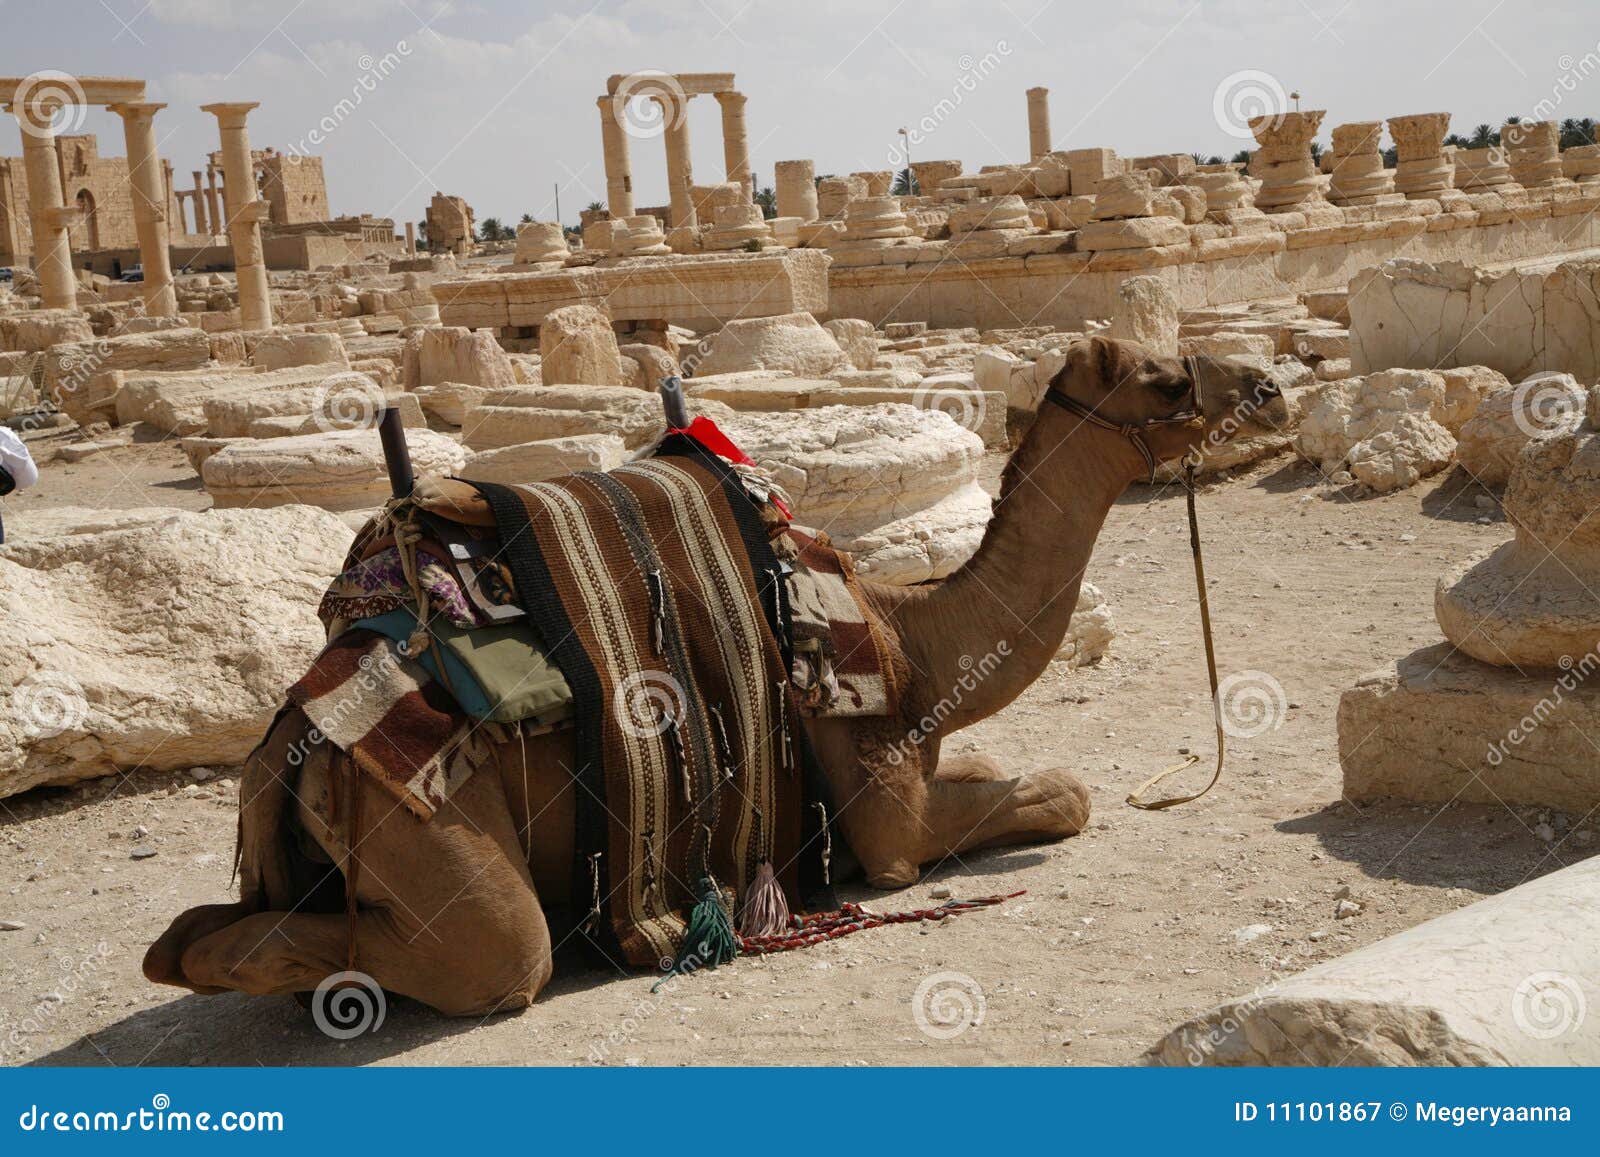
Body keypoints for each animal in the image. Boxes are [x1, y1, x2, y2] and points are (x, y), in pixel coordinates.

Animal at [145, 336, 1284, 1016]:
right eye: (1163, 376)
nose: (1269, 386)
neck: (911, 639)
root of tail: (291, 744)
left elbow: (1038, 778)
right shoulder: (883, 806)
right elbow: (1058, 796)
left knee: (194, 937)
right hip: (422, 816)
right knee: (497, 956)